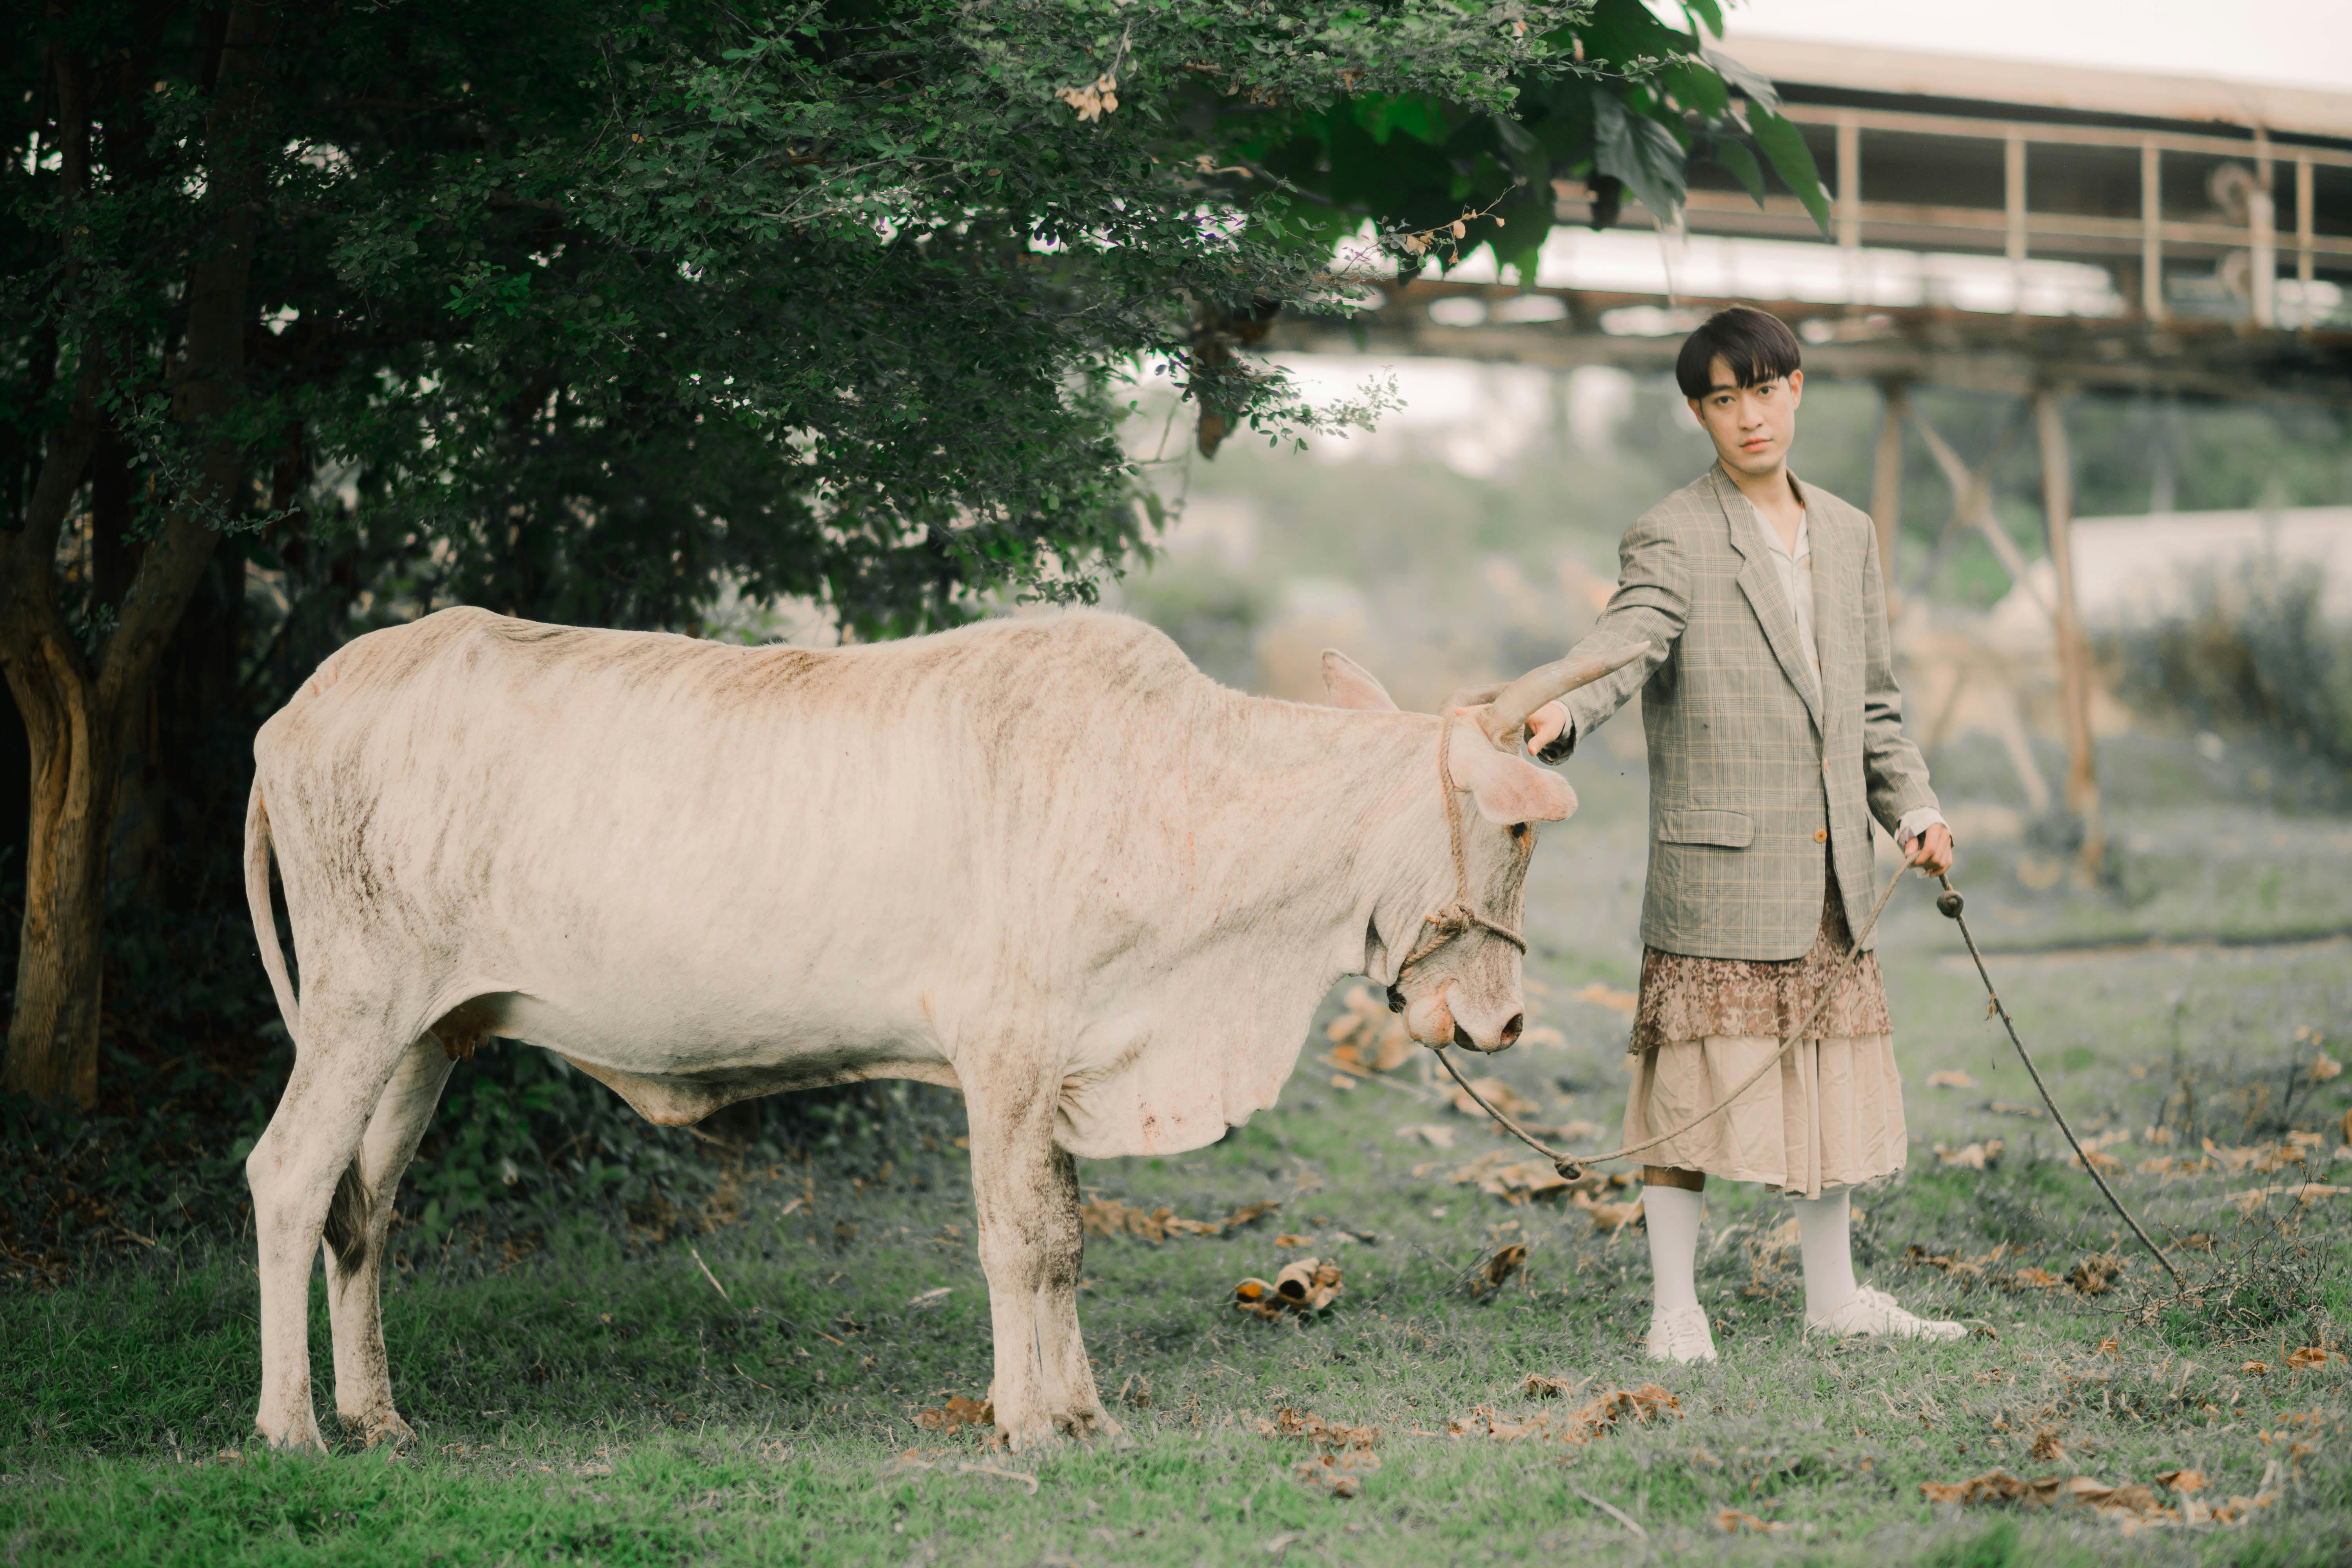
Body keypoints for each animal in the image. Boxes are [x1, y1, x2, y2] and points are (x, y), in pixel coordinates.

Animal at [239, 606, 1639, 1452]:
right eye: (1520, 825)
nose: (1507, 1017)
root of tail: (292, 713)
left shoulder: (1069, 1060)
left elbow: (1066, 1242)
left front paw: (1081, 1414)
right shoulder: (1004, 1051)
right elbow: (1017, 1242)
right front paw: (1024, 1424)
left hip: (429, 1031)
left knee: (367, 1208)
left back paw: (377, 1418)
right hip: (358, 1003)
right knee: (291, 1178)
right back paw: (293, 1429)